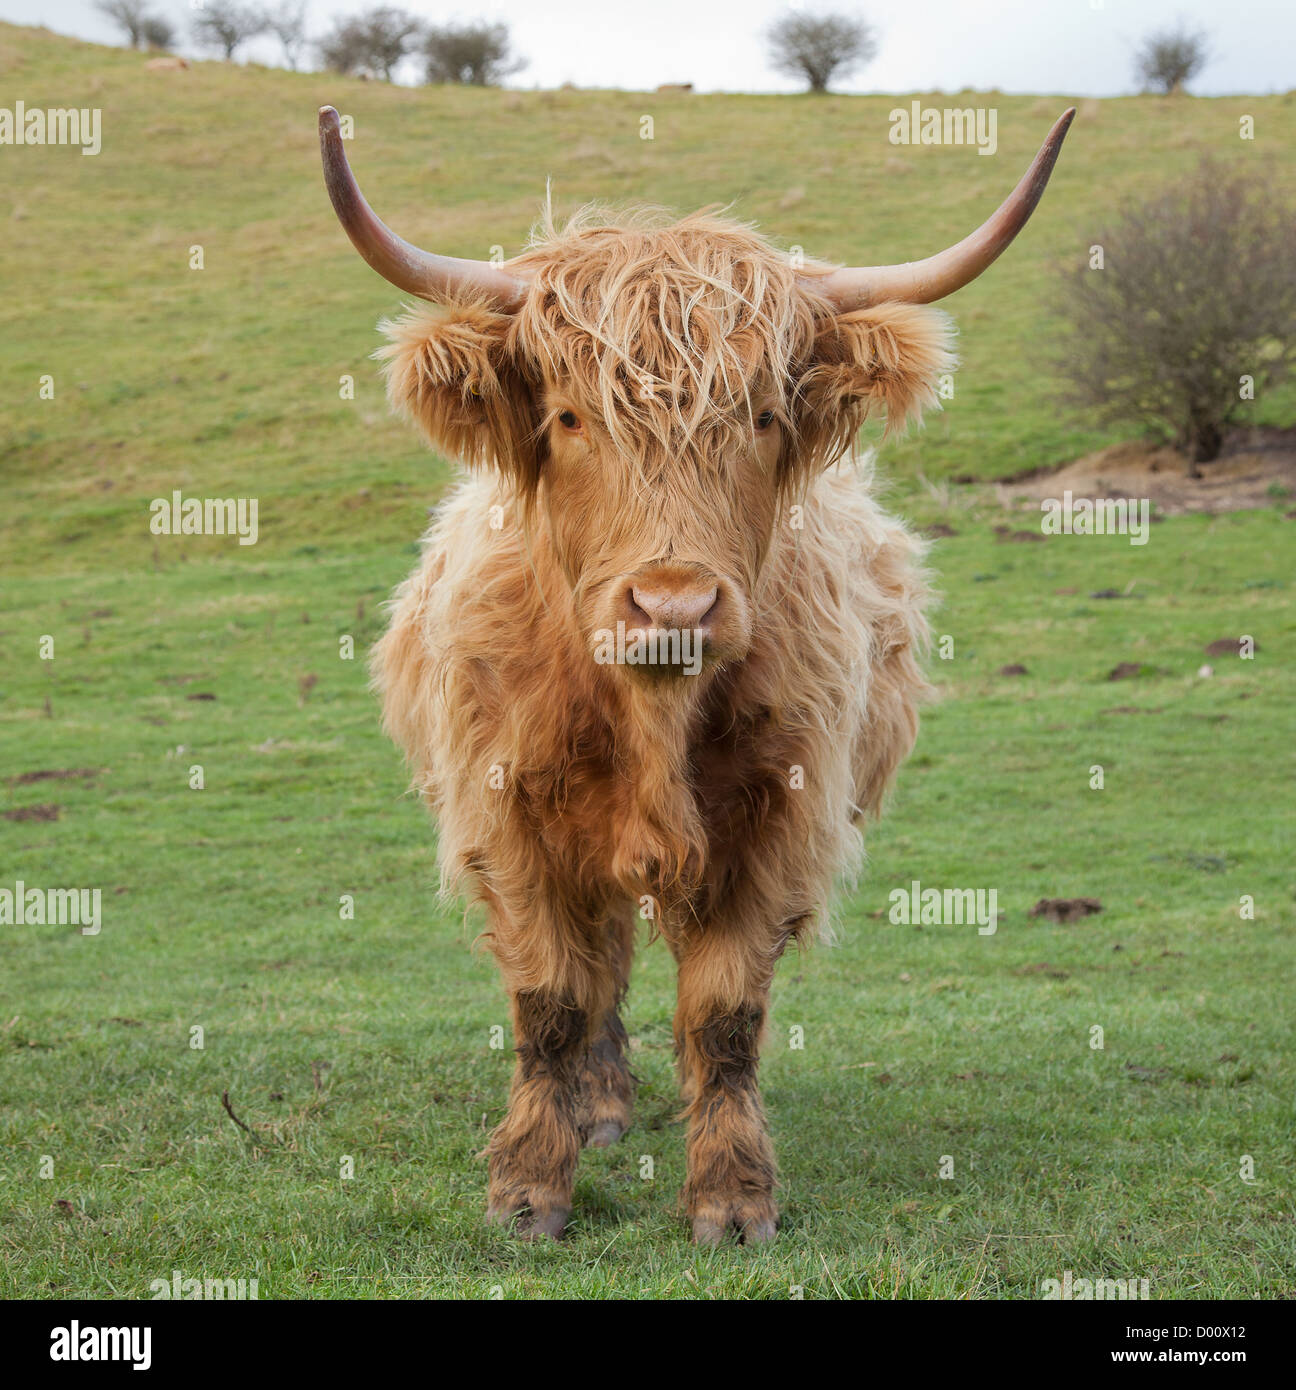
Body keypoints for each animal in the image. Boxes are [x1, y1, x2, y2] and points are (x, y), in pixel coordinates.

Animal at [319, 105, 1074, 1244]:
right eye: (571, 418)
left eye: (759, 418)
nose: (672, 607)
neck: (651, 716)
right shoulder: (510, 813)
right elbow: (550, 1000)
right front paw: (530, 1189)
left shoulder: (777, 819)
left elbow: (724, 1015)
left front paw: (731, 1197)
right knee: (599, 963)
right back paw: (600, 1111)